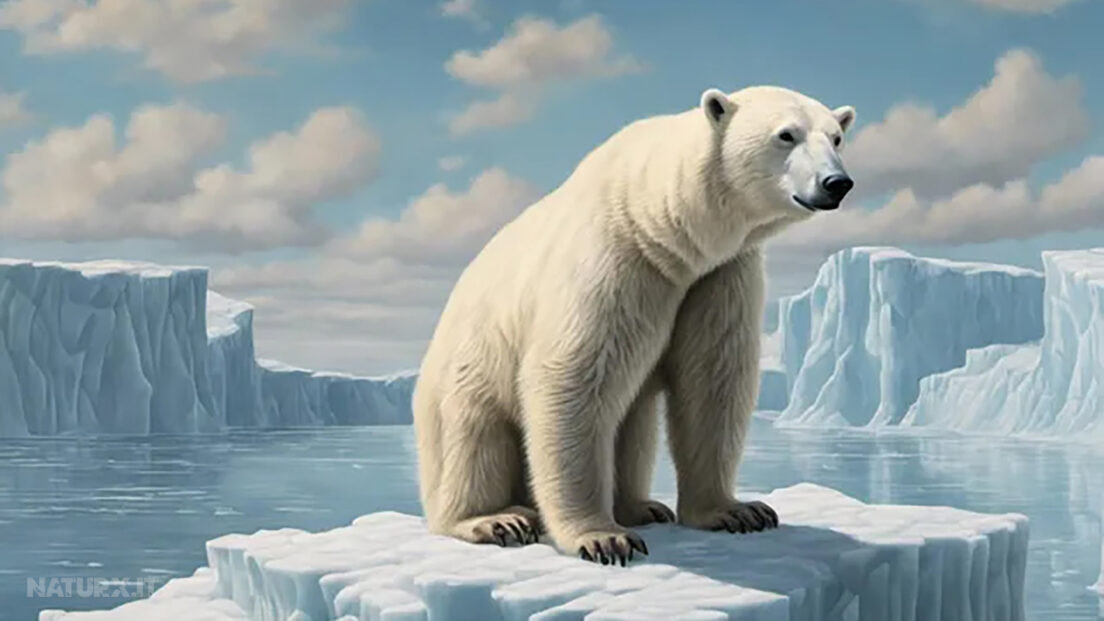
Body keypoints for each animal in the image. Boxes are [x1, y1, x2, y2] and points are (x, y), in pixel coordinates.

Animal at [413, 85, 856, 564]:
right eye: (786, 135)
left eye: (836, 138)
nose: (837, 183)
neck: (656, 221)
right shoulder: (616, 261)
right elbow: (571, 377)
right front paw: (601, 537)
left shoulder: (718, 275)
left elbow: (713, 379)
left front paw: (736, 511)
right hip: (466, 375)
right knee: (473, 440)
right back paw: (495, 518)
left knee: (634, 425)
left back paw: (641, 506)